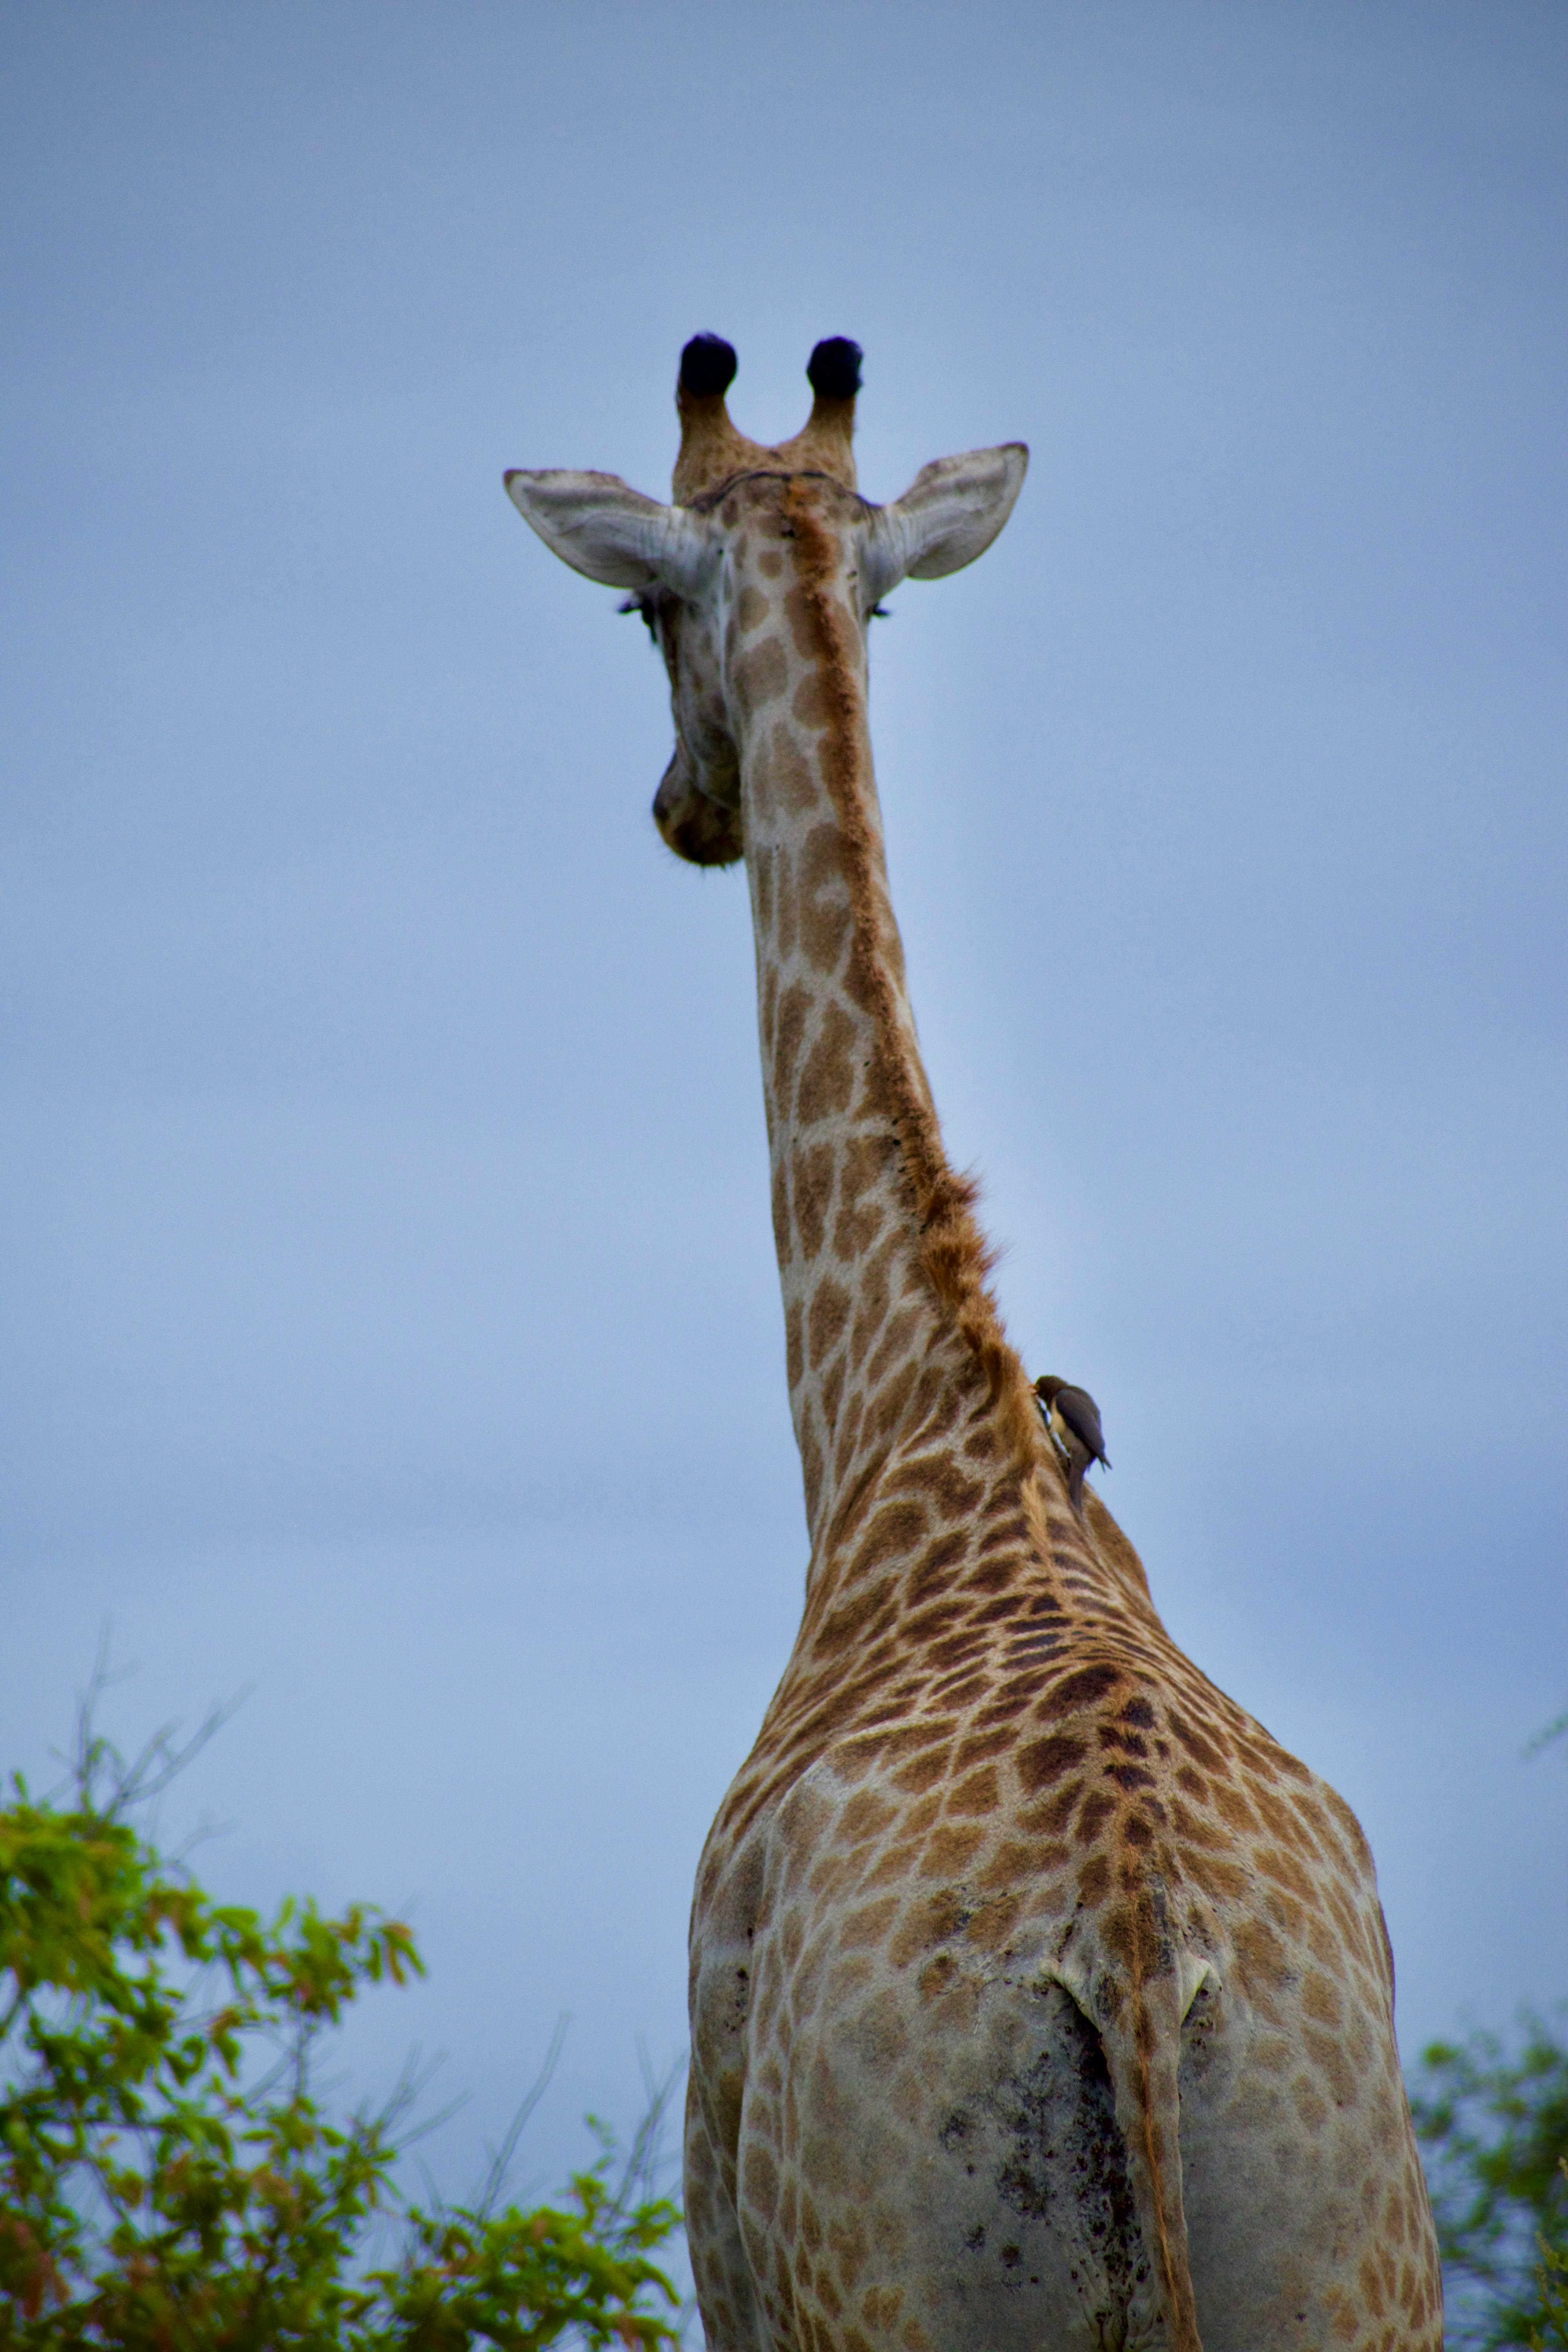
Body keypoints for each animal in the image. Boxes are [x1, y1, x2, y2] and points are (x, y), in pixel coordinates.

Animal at [504, 336, 1441, 2352]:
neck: (907, 1444)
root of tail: (1135, 1940)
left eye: (637, 608)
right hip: (1349, 2266)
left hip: (886, 2281)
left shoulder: (734, 2274)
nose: (683, 806)